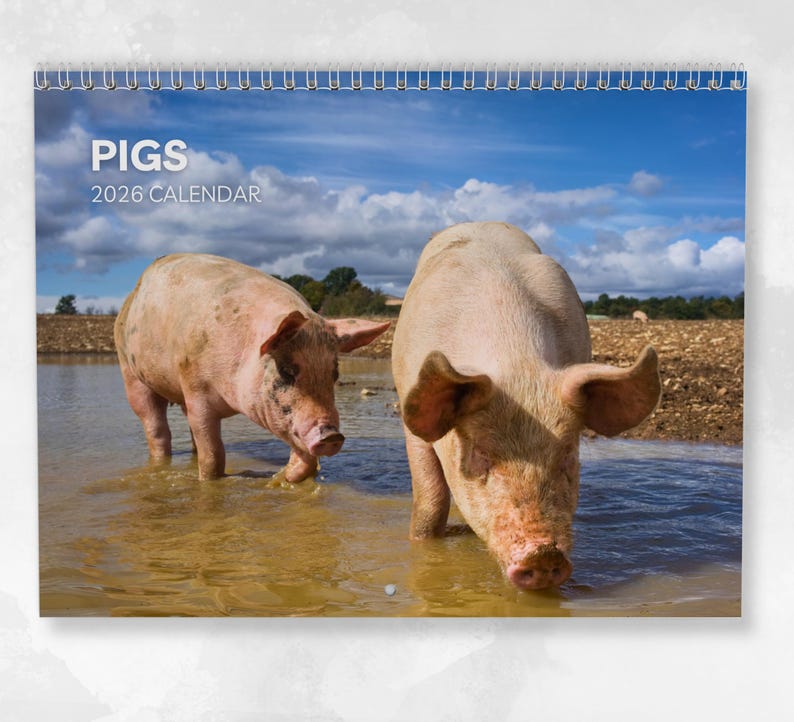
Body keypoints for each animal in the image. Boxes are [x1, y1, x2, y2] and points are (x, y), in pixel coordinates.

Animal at [114, 254, 390, 482]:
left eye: (334, 374)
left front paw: (284, 478)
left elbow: (304, 456)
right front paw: (210, 481)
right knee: (156, 428)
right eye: (287, 371)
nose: (332, 436)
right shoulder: (195, 386)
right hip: (130, 370)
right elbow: (213, 455)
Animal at [392, 222, 661, 591]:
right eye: (481, 455)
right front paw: (424, 543)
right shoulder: (412, 419)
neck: (518, 366)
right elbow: (431, 499)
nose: (544, 554)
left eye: (568, 457)